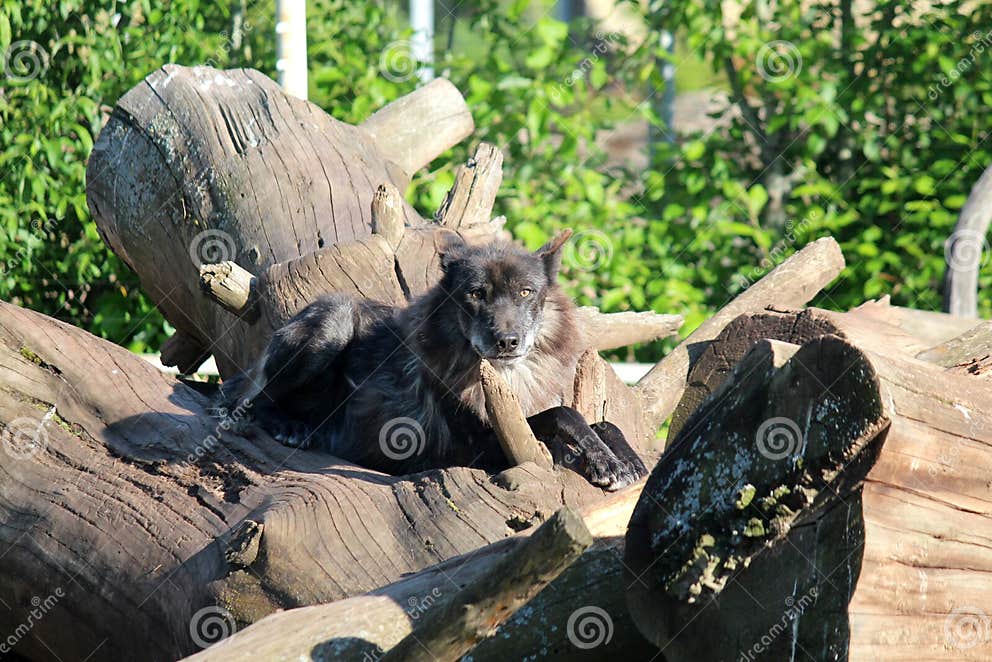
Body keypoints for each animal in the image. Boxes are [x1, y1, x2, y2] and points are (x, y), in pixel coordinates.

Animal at [215, 229, 647, 490]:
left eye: (525, 292)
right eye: (476, 293)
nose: (506, 341)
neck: (508, 376)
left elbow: (601, 420)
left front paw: (627, 458)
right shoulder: (479, 448)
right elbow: (563, 414)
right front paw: (604, 462)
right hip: (333, 321)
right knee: (244, 400)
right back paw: (289, 426)